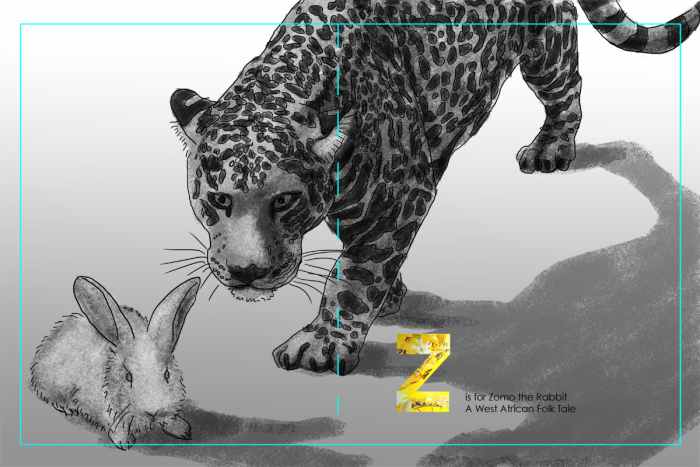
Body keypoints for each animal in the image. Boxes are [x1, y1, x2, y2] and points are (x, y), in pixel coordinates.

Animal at [30, 275, 201, 450]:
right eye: (128, 376)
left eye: (167, 374)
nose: (153, 412)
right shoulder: (110, 412)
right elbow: (118, 427)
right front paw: (124, 443)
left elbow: (169, 418)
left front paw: (182, 429)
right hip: (54, 381)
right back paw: (67, 406)